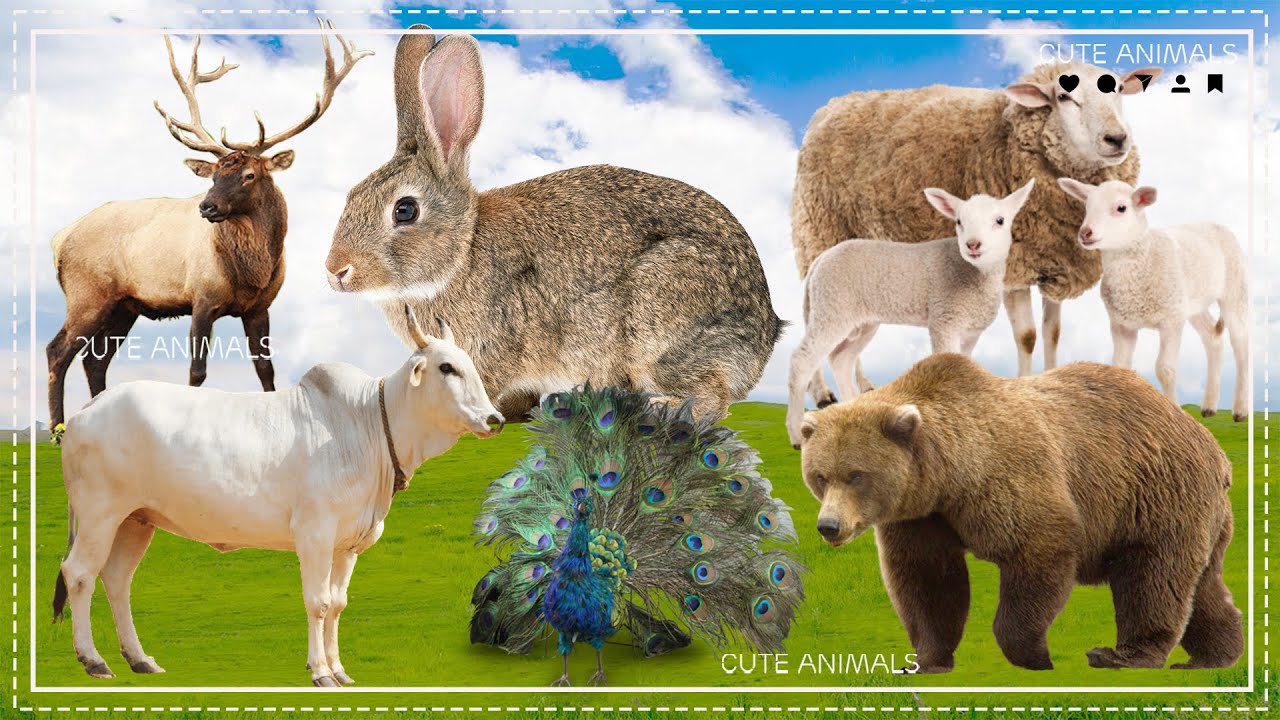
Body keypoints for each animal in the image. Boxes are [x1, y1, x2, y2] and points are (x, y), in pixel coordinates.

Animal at [326, 27, 783, 420]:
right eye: (350, 195)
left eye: (404, 210)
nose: (336, 271)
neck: (462, 252)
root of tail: (765, 332)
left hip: (661, 316)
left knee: (709, 398)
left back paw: (659, 407)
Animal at [786, 180, 1035, 448]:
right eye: (959, 221)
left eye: (1000, 220)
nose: (973, 245)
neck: (974, 274)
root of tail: (820, 260)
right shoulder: (945, 317)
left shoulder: (970, 330)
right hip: (832, 306)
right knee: (802, 360)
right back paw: (796, 433)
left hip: (859, 320)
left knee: (841, 359)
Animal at [792, 62, 1162, 403]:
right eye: (1063, 96)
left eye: (1117, 91)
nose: (1117, 139)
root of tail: (833, 105)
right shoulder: (1015, 266)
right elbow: (1027, 336)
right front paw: (1025, 385)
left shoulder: (1053, 261)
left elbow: (1052, 332)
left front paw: (1054, 381)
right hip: (820, 234)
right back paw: (822, 393)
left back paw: (864, 387)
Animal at [1057, 178, 1249, 421]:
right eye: (1087, 206)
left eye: (1121, 208)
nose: (1085, 233)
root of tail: (1214, 224)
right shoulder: (1122, 324)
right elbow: (1121, 368)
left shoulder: (1170, 321)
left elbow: (1165, 369)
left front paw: (1173, 411)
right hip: (1191, 303)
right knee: (1212, 339)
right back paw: (1209, 406)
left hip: (1234, 288)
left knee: (1241, 344)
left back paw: (1241, 409)